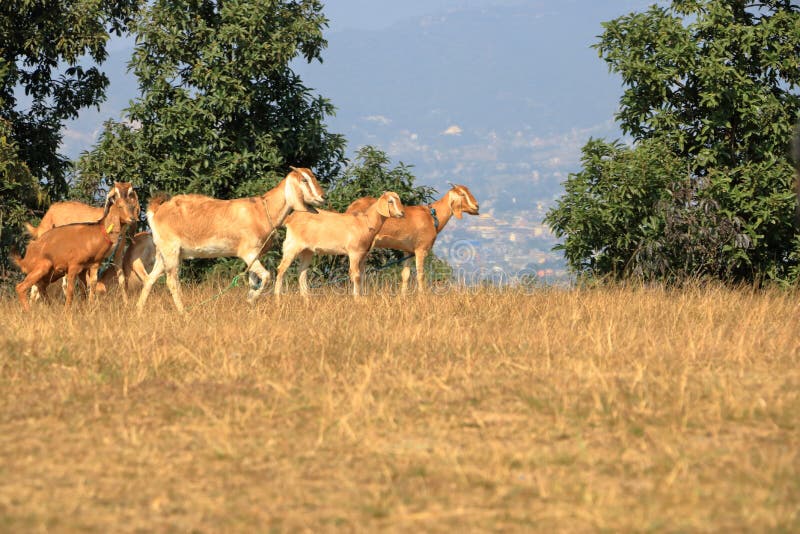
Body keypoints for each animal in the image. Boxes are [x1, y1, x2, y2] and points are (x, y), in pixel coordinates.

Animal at [137, 167, 325, 313]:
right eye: (304, 179)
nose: (322, 197)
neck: (261, 210)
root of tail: (157, 210)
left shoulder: (254, 256)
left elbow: (253, 281)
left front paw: (250, 304)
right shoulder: (248, 253)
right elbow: (266, 276)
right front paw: (251, 300)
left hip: (162, 254)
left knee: (150, 279)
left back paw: (139, 312)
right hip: (171, 251)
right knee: (171, 282)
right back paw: (184, 313)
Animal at [275, 191, 405, 298]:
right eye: (390, 201)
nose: (402, 213)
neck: (364, 223)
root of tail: (290, 218)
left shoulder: (363, 255)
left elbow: (362, 276)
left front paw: (362, 298)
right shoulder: (354, 253)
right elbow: (355, 275)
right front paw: (357, 299)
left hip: (307, 251)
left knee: (302, 272)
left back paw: (306, 299)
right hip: (292, 246)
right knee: (281, 269)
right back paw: (278, 299)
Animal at [345, 184, 479, 293]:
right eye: (462, 194)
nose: (476, 206)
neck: (432, 217)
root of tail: (351, 207)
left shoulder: (408, 251)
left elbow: (405, 275)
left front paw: (403, 297)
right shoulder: (421, 249)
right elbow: (420, 275)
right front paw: (422, 297)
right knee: (355, 272)